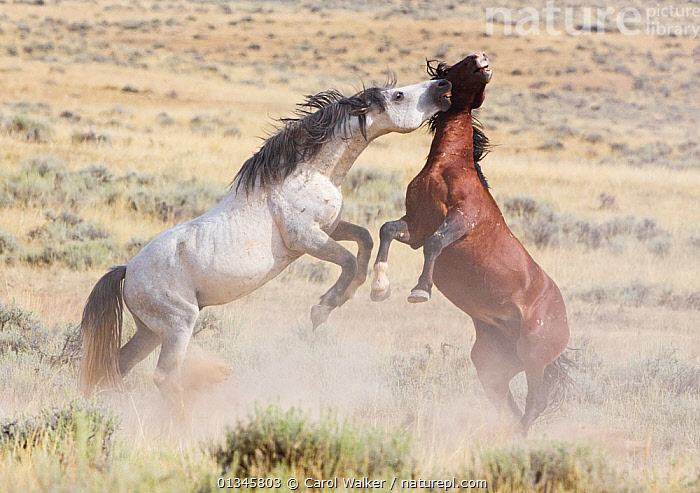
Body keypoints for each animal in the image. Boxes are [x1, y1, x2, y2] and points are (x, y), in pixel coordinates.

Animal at [80, 77, 452, 403]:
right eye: (399, 95)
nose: (443, 85)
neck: (309, 173)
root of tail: (128, 270)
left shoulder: (330, 228)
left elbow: (363, 240)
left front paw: (370, 291)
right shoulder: (307, 239)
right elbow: (347, 260)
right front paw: (323, 308)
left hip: (150, 330)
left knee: (121, 364)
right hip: (177, 325)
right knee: (164, 377)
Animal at [369, 53, 571, 436]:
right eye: (458, 64)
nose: (483, 59)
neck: (447, 167)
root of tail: (564, 321)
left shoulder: (461, 221)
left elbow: (435, 244)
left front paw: (420, 290)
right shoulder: (415, 226)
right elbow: (387, 230)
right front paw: (379, 286)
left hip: (534, 357)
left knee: (535, 403)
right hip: (492, 364)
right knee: (508, 402)